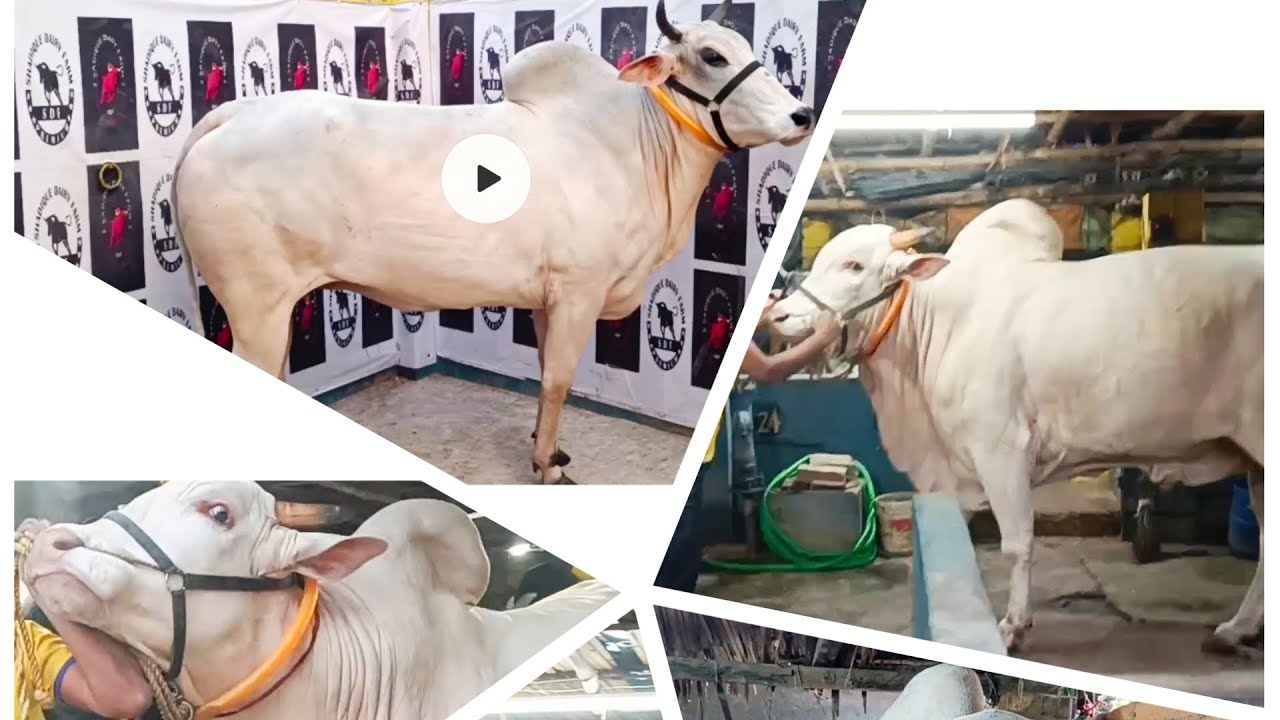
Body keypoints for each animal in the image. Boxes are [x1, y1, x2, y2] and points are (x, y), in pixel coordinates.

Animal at [170, 0, 815, 485]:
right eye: (712, 56)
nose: (803, 114)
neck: (633, 147)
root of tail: (231, 115)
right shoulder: (579, 291)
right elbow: (558, 379)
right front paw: (547, 467)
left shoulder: (547, 300)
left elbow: (545, 371)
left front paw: (547, 447)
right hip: (255, 307)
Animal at [767, 198, 1264, 655]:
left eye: (853, 265)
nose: (778, 316)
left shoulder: (1000, 448)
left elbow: (1017, 543)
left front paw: (1013, 626)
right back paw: (1236, 629)